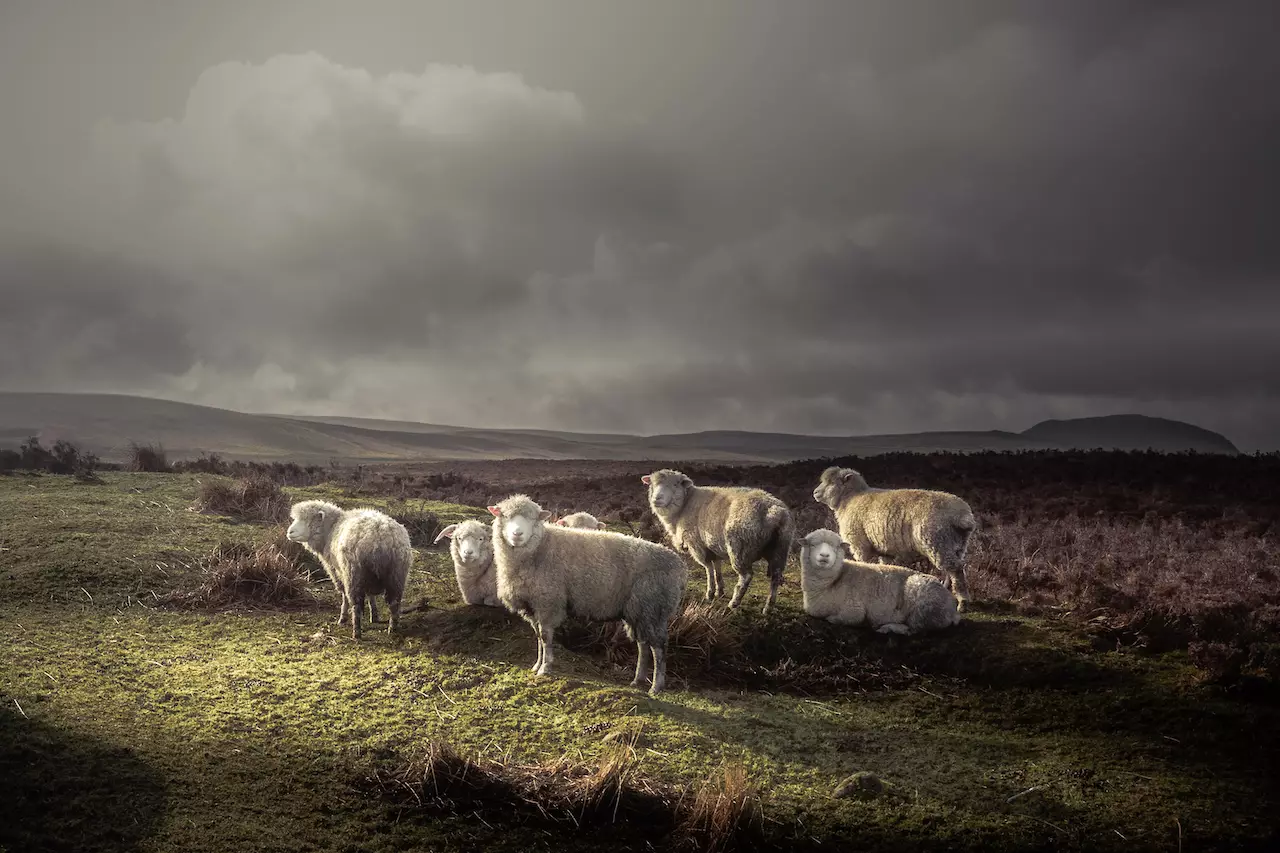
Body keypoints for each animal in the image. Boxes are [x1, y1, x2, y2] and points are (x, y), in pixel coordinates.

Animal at [288, 499, 412, 637]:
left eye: (307, 519)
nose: (289, 532)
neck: (331, 529)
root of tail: (380, 538)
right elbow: (371, 595)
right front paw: (374, 615)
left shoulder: (337, 571)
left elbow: (344, 595)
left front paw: (342, 618)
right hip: (396, 575)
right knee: (394, 603)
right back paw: (393, 628)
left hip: (353, 574)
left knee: (356, 604)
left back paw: (356, 632)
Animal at [488, 491, 691, 691]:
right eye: (504, 515)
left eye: (533, 518)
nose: (517, 534)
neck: (540, 547)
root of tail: (679, 566)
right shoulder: (532, 605)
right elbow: (538, 637)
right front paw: (537, 665)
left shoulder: (549, 602)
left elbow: (545, 637)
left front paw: (545, 668)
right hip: (638, 611)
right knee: (643, 645)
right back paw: (638, 680)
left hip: (654, 608)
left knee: (659, 647)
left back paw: (656, 686)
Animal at [645, 468, 793, 614]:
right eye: (652, 484)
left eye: (675, 484)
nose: (656, 499)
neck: (684, 505)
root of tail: (774, 511)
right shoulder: (713, 545)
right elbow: (717, 568)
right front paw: (719, 591)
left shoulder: (697, 545)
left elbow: (708, 569)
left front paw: (710, 593)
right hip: (780, 549)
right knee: (776, 576)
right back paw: (768, 607)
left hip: (740, 548)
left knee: (746, 576)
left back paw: (734, 603)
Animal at [798, 525, 962, 630]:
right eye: (812, 545)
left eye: (836, 547)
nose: (824, 555)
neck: (833, 582)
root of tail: (952, 607)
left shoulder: (853, 610)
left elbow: (843, 618)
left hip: (922, 602)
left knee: (916, 627)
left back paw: (889, 627)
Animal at [808, 466, 977, 612]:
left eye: (831, 482)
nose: (815, 492)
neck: (849, 500)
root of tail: (963, 516)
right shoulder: (884, 549)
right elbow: (885, 567)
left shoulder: (859, 544)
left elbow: (864, 563)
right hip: (955, 544)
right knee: (953, 569)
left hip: (937, 542)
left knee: (955, 569)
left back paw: (963, 603)